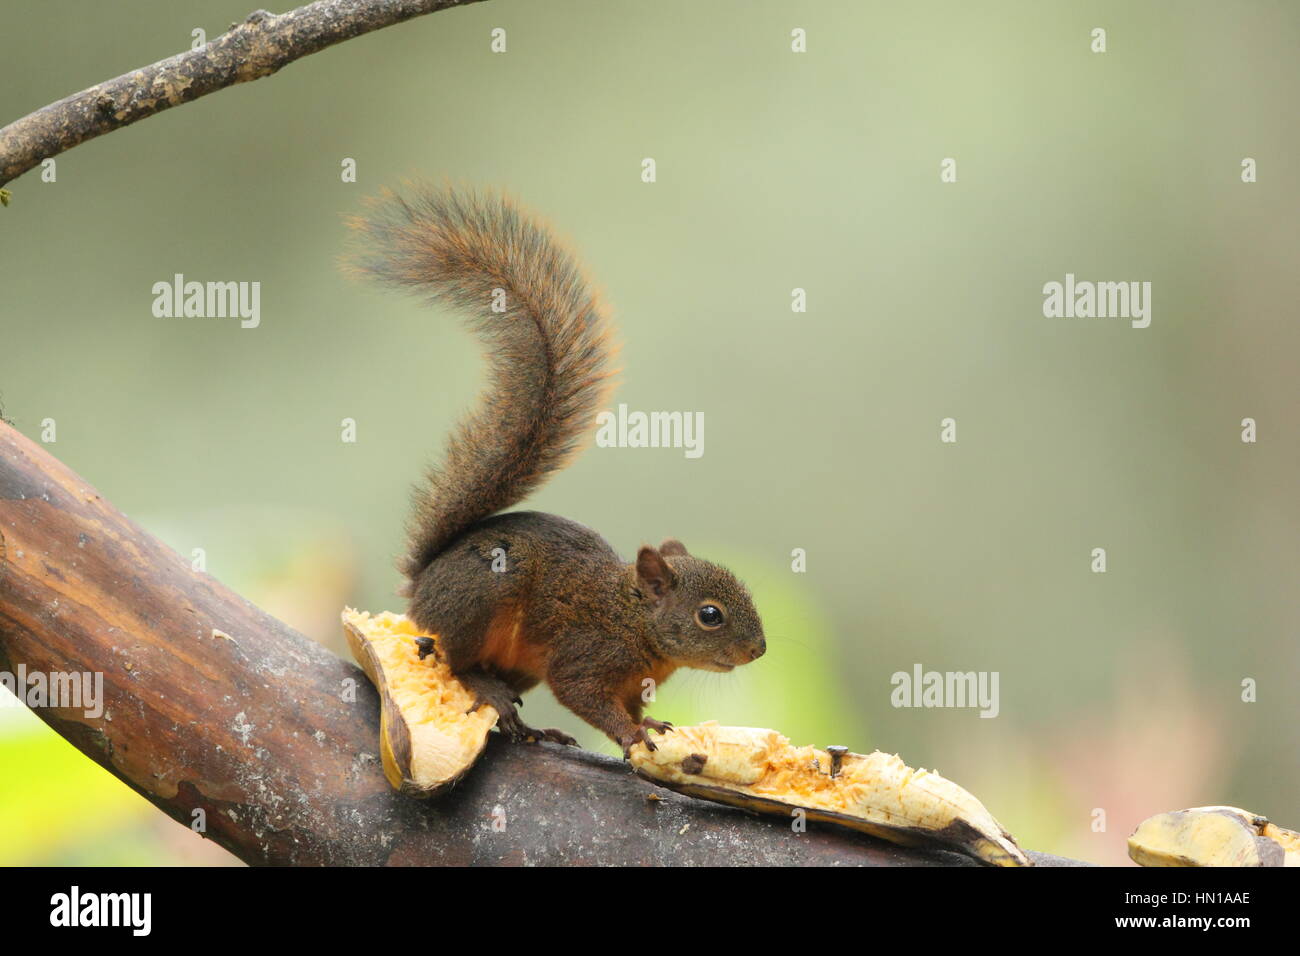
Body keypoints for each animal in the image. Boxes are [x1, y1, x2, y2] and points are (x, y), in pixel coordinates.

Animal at [347, 186, 766, 757]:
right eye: (710, 615)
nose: (759, 650)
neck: (633, 618)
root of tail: (423, 582)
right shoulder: (586, 656)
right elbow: (583, 695)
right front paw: (632, 733)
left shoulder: (631, 682)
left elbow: (633, 706)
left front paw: (653, 725)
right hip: (482, 597)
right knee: (456, 661)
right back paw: (485, 689)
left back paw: (528, 729)